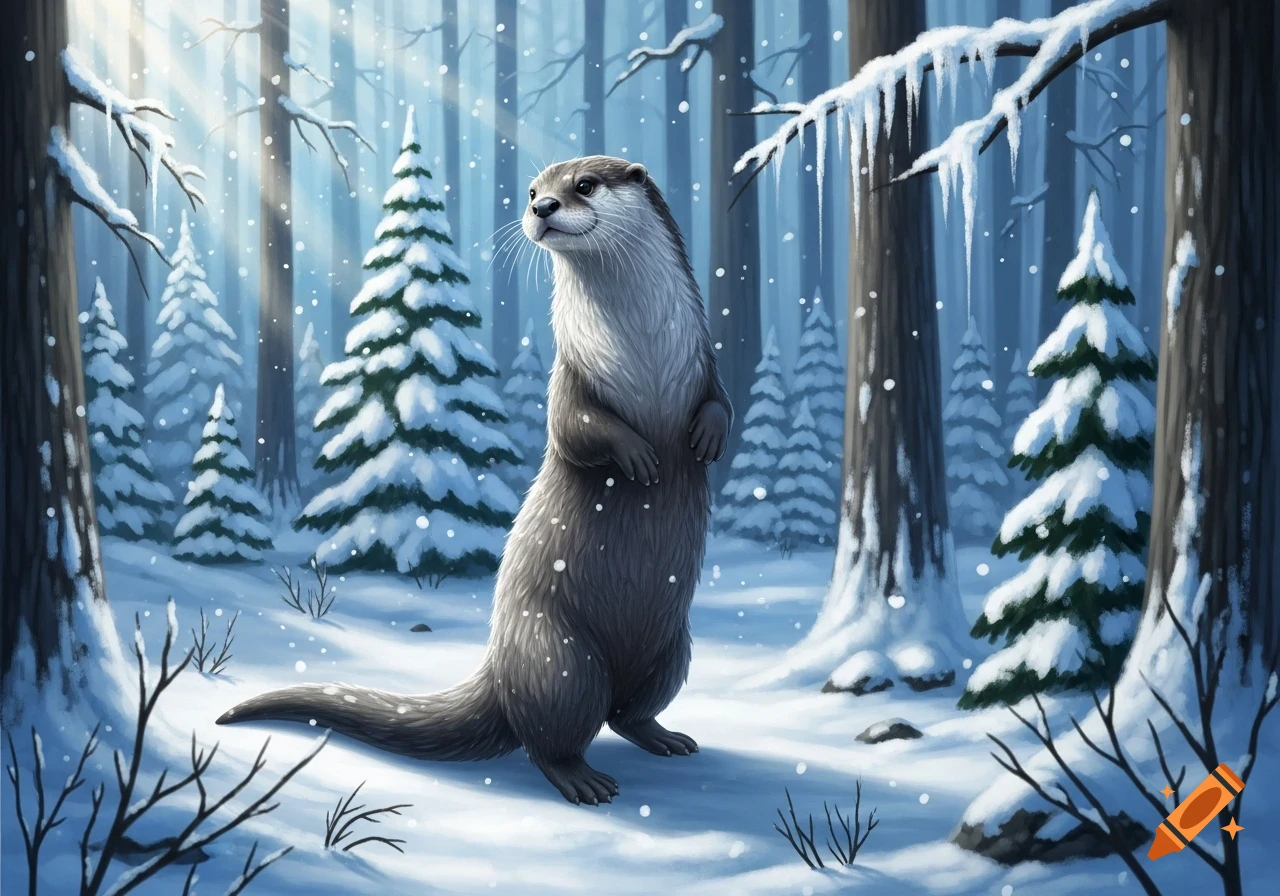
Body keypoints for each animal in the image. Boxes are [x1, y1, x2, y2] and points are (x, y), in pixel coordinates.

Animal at [216, 156, 733, 805]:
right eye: (534, 189)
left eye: (584, 185)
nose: (542, 208)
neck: (644, 354)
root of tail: (497, 672)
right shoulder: (571, 377)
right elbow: (577, 429)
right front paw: (637, 454)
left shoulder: (705, 359)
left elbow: (722, 404)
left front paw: (706, 439)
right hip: (560, 657)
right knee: (553, 736)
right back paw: (582, 779)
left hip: (672, 649)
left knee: (628, 713)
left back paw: (665, 737)